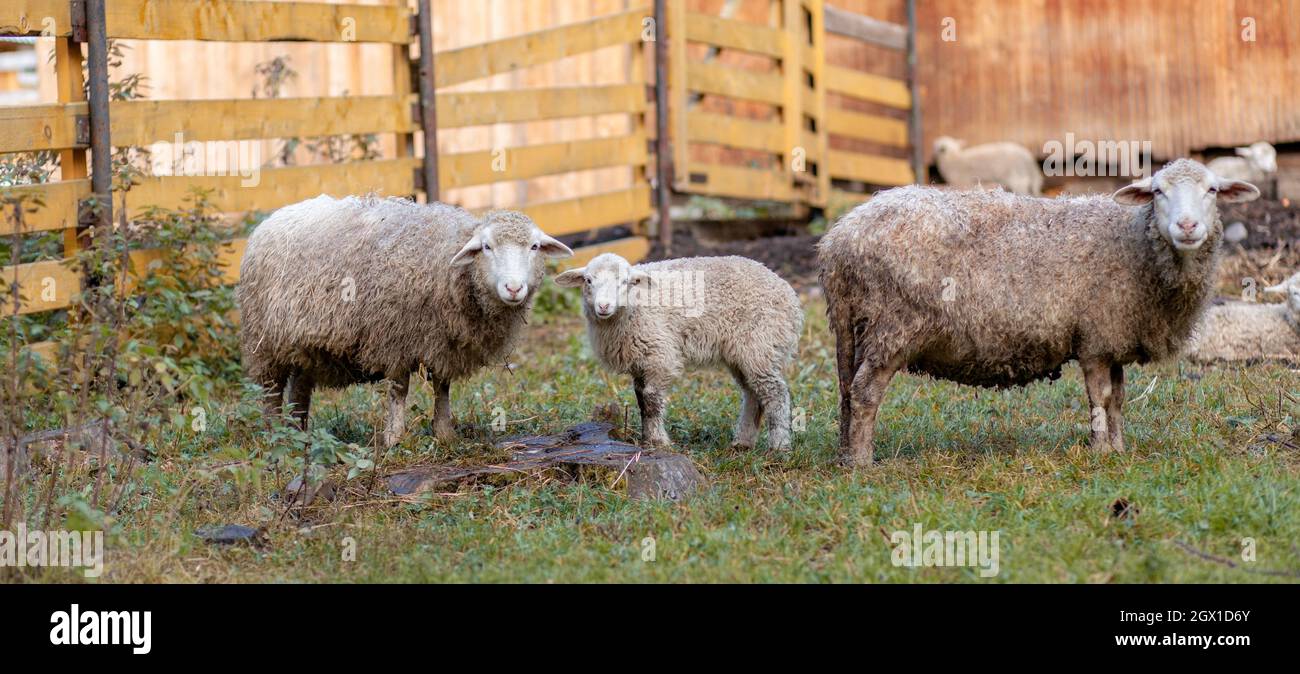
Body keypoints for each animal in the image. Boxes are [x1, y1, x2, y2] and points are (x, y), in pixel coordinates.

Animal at [237, 195, 573, 447]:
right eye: (487, 247)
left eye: (534, 247)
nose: (514, 288)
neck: (448, 264)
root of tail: (273, 217)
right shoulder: (395, 337)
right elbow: (399, 389)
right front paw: (394, 437)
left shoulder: (442, 341)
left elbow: (442, 386)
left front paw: (444, 433)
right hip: (263, 342)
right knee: (271, 391)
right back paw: (275, 437)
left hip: (304, 345)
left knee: (300, 389)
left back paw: (299, 433)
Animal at [554, 253, 802, 451]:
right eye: (588, 280)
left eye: (625, 282)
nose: (603, 306)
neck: (634, 309)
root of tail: (788, 291)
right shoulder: (640, 361)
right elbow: (641, 400)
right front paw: (647, 439)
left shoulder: (660, 355)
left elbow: (652, 400)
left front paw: (658, 441)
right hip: (743, 353)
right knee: (752, 393)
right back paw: (743, 443)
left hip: (761, 343)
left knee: (775, 393)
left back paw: (779, 447)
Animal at [819, 159, 1259, 466]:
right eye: (1157, 192)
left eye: (1213, 190)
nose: (1187, 226)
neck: (1133, 243)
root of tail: (837, 240)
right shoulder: (1095, 339)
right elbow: (1100, 398)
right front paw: (1100, 451)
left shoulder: (1110, 336)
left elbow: (1118, 398)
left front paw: (1119, 449)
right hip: (892, 325)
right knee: (864, 393)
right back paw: (864, 463)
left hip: (861, 326)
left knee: (847, 392)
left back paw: (846, 454)